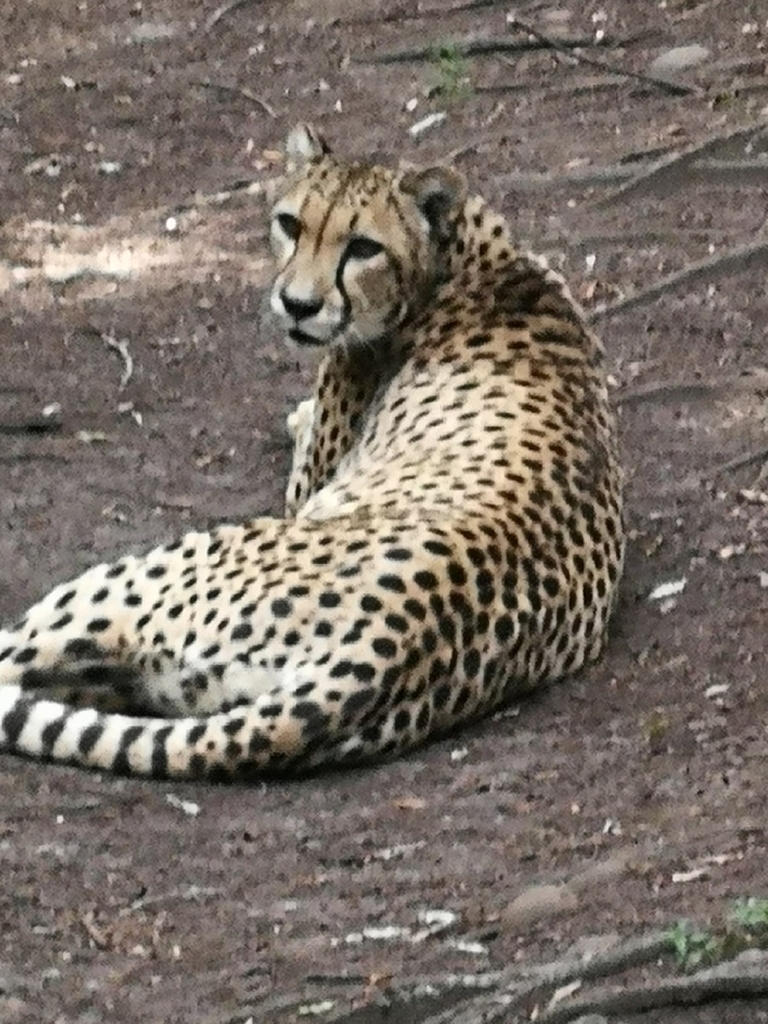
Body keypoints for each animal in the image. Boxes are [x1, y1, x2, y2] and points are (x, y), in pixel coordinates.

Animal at [0, 123, 625, 780]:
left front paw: (295, 413)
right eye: (291, 224)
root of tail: (381, 655)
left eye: (364, 247)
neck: (466, 260)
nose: (298, 305)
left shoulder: (306, 484)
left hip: (141, 579)